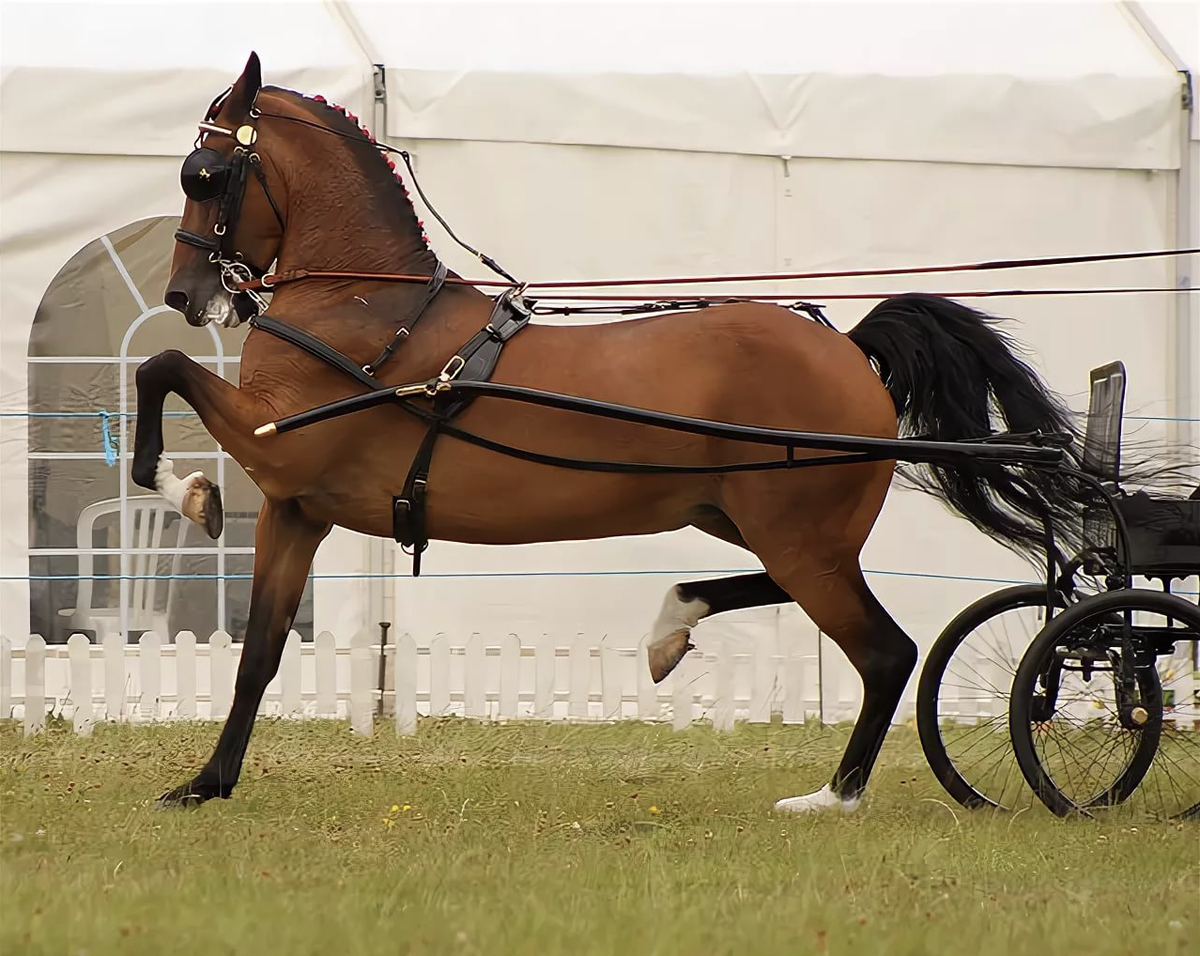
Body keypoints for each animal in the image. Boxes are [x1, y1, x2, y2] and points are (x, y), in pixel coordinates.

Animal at [138, 56, 1080, 810]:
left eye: (206, 174)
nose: (186, 294)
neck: (369, 308)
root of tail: (845, 347)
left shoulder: (275, 441)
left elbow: (162, 369)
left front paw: (186, 491)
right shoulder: (297, 506)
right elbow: (260, 653)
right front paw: (207, 782)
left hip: (798, 537)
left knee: (886, 652)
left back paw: (833, 797)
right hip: (749, 520)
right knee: (795, 599)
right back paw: (676, 624)